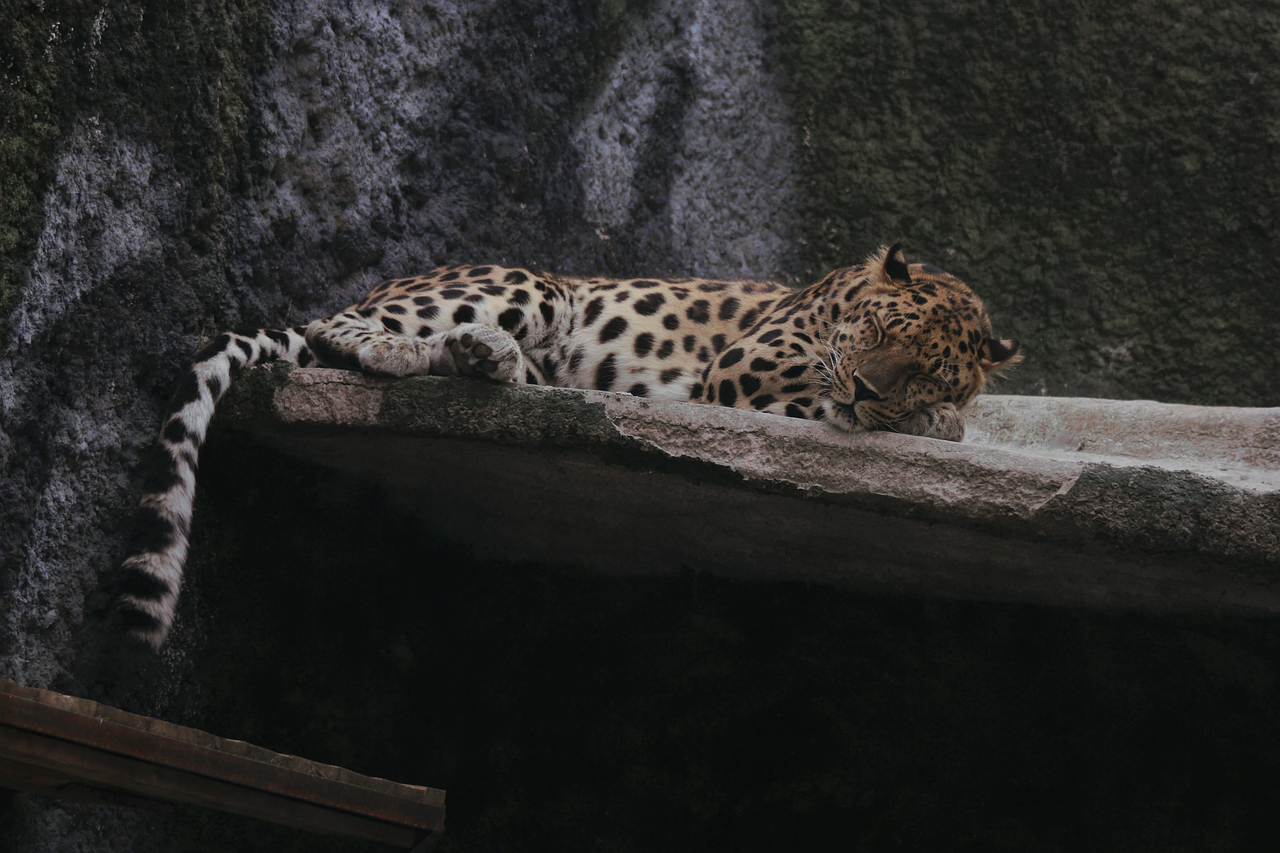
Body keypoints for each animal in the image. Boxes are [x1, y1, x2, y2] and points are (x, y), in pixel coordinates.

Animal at [116, 243, 1020, 649]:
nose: (870, 388)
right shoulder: (745, 372)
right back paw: (424, 350)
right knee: (333, 326)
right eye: (880, 331)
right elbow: (827, 396)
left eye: (927, 369)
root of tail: (385, 284)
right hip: (530, 284)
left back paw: (493, 360)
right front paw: (926, 423)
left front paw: (933, 416)